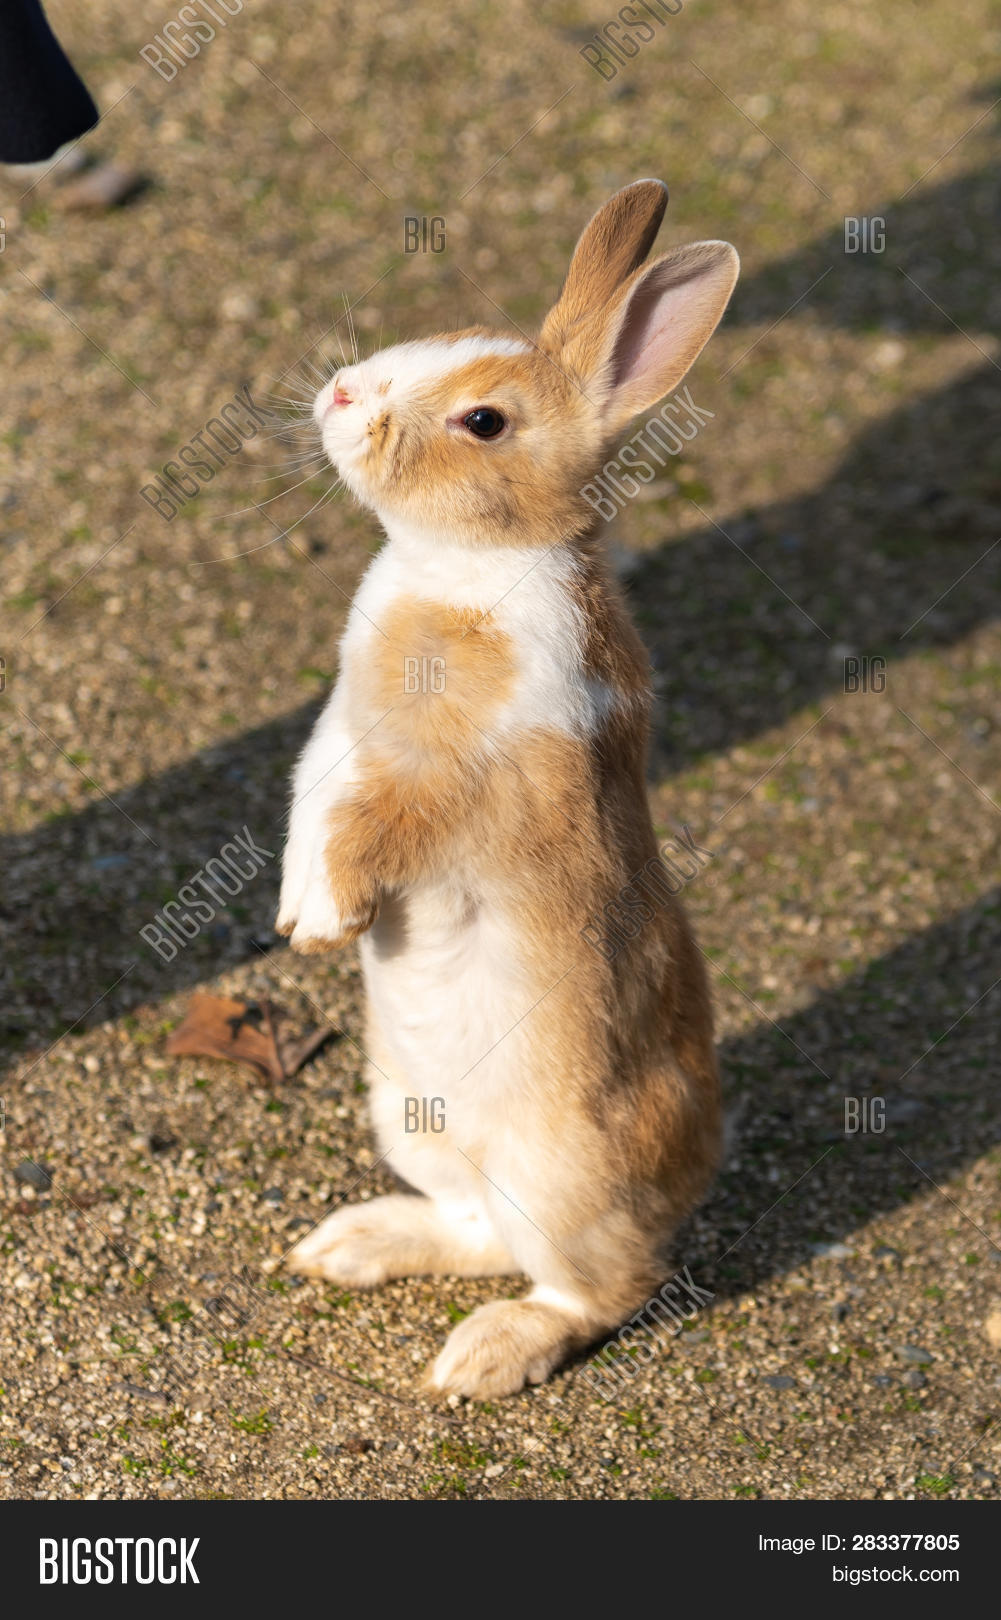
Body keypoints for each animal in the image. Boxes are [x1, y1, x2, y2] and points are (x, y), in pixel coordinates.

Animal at [276, 179, 738, 1399]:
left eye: (482, 421)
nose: (343, 390)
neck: (469, 562)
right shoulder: (333, 738)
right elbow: (307, 797)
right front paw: (292, 913)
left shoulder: (466, 778)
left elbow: (374, 826)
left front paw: (321, 924)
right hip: (414, 1121)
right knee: (478, 1231)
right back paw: (349, 1246)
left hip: (560, 1174)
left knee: (593, 1290)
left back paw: (479, 1360)